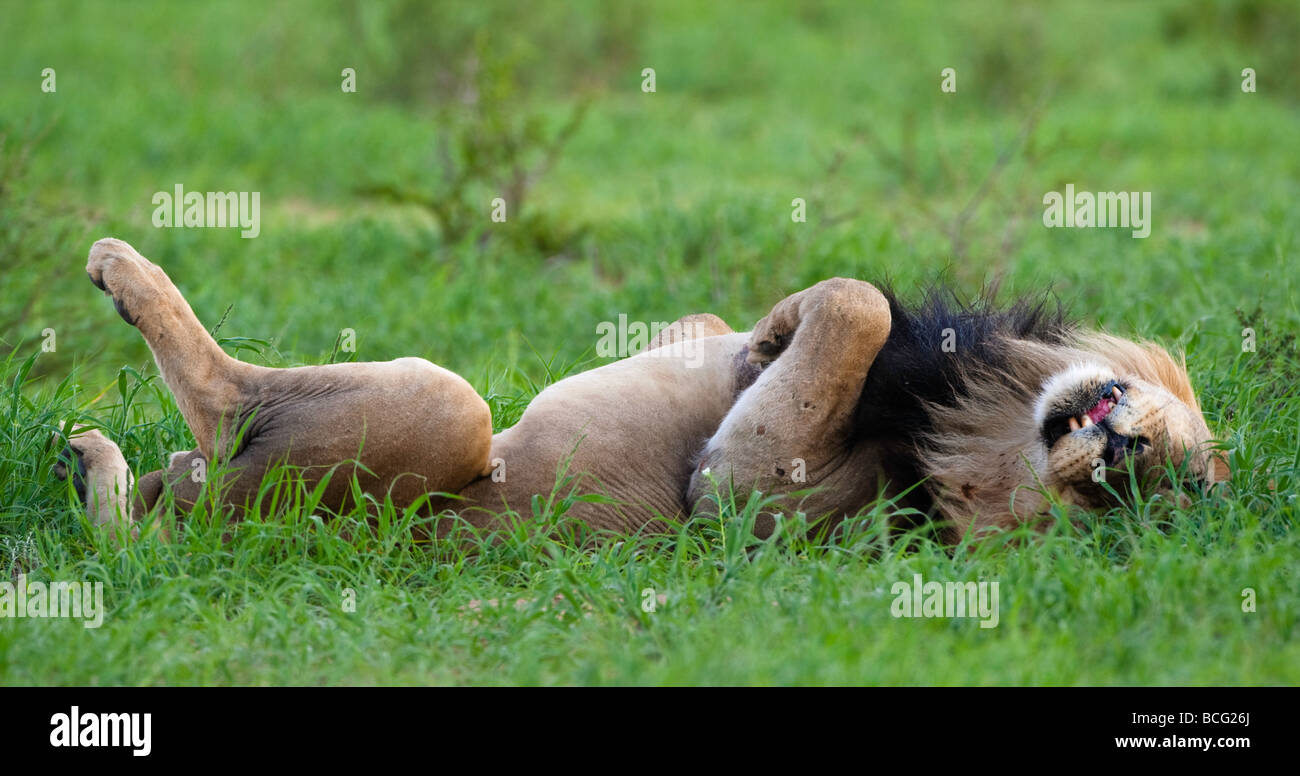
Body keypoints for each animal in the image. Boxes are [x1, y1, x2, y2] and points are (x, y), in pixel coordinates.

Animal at [56, 238, 1228, 545]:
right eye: (1170, 470)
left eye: (1132, 495)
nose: (1115, 452)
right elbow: (793, 310)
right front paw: (766, 325)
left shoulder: (745, 497)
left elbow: (855, 303)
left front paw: (786, 326)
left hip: (443, 409)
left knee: (216, 411)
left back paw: (115, 292)